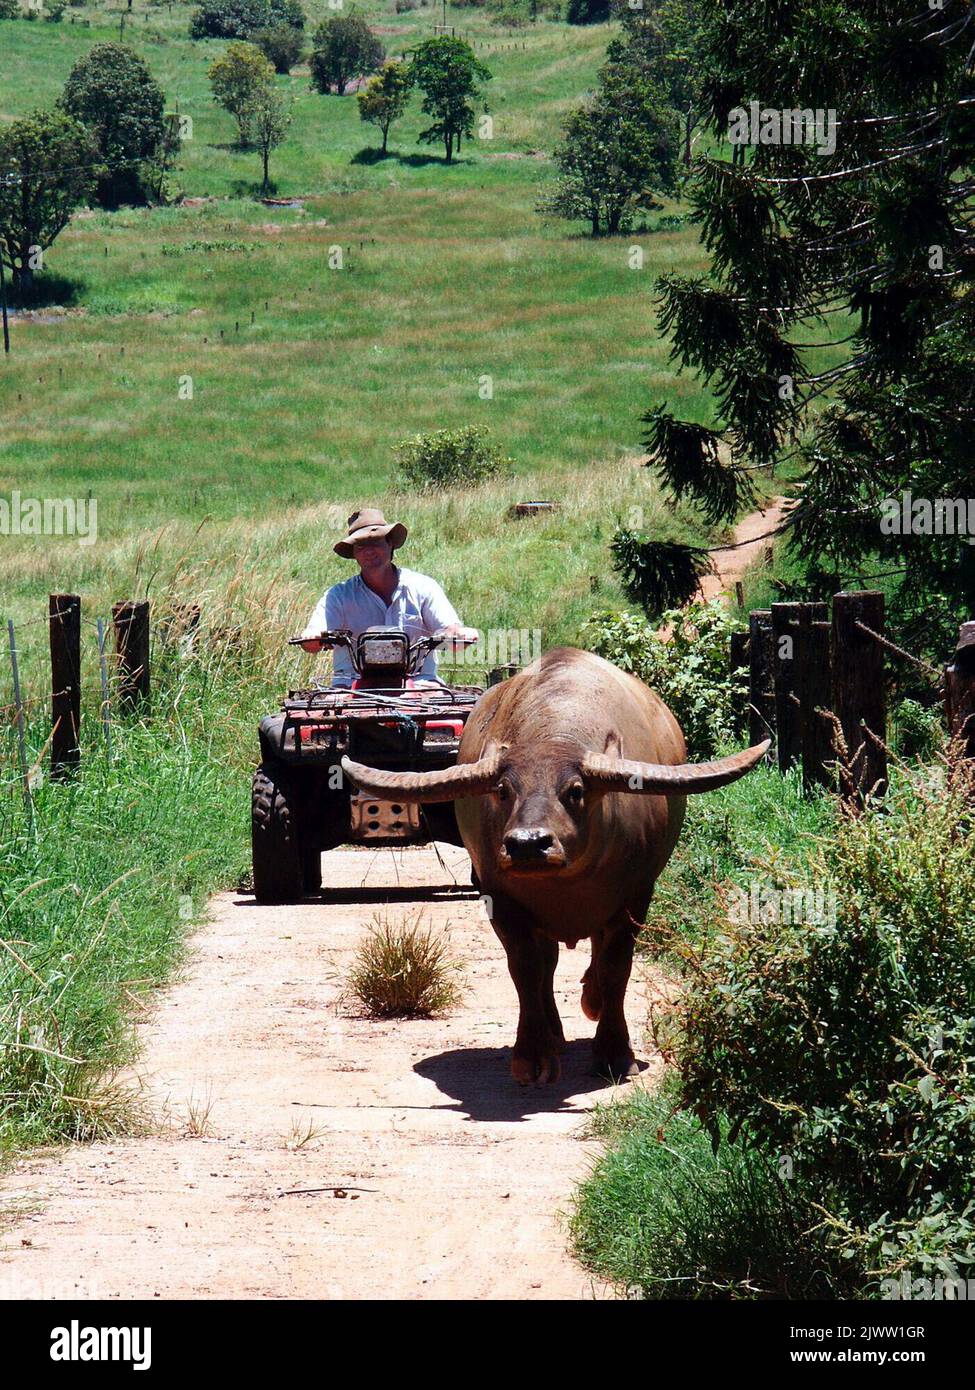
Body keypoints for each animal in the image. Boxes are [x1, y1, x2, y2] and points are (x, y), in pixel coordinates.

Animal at [342, 648, 769, 1084]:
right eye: (503, 790)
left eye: (575, 791)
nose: (528, 845)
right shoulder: (499, 898)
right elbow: (527, 969)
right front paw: (533, 1054)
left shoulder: (635, 895)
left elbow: (616, 967)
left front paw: (614, 1053)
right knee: (547, 963)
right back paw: (555, 1032)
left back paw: (591, 1000)